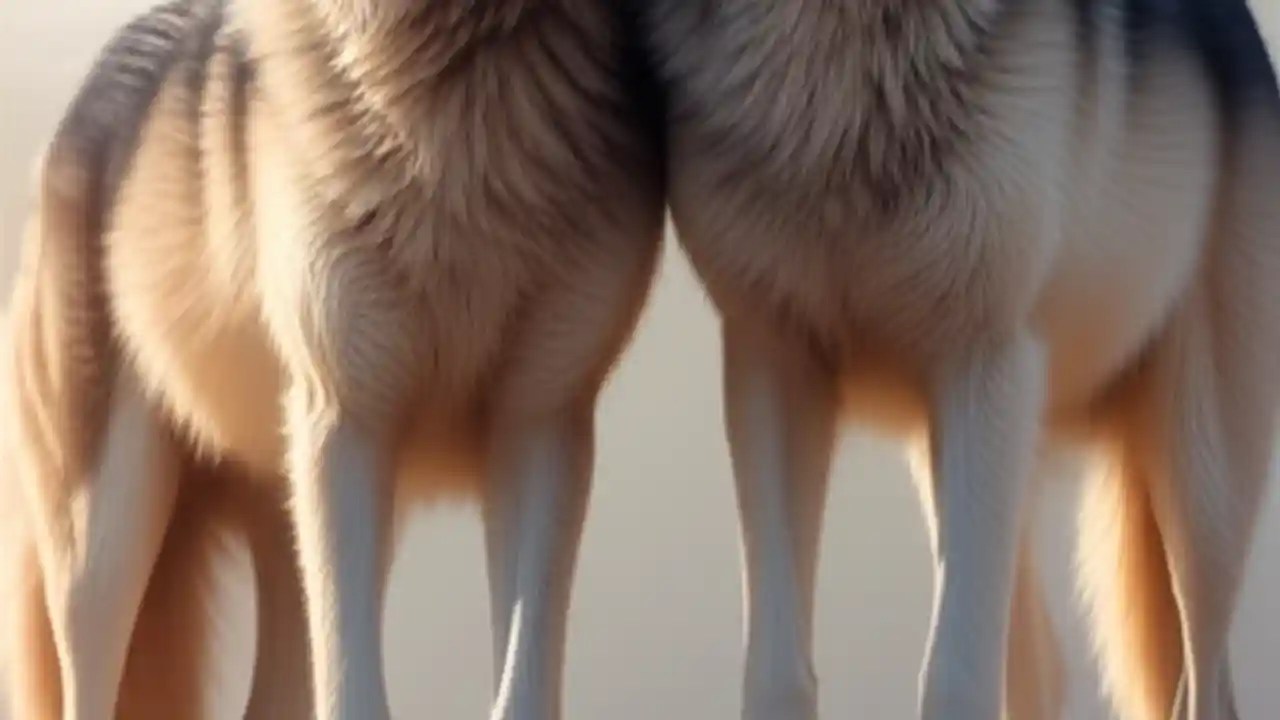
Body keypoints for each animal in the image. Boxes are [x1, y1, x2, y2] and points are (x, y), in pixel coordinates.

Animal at [2, 0, 665, 718]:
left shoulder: (539, 425)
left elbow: (523, 686)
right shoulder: (347, 421)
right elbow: (355, 692)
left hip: (300, 530)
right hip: (108, 540)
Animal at [644, 1, 1280, 718]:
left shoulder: (985, 359)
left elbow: (956, 674)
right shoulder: (770, 359)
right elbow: (776, 670)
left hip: (1197, 488)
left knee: (1202, 683)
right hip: (967, 460)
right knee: (1044, 664)